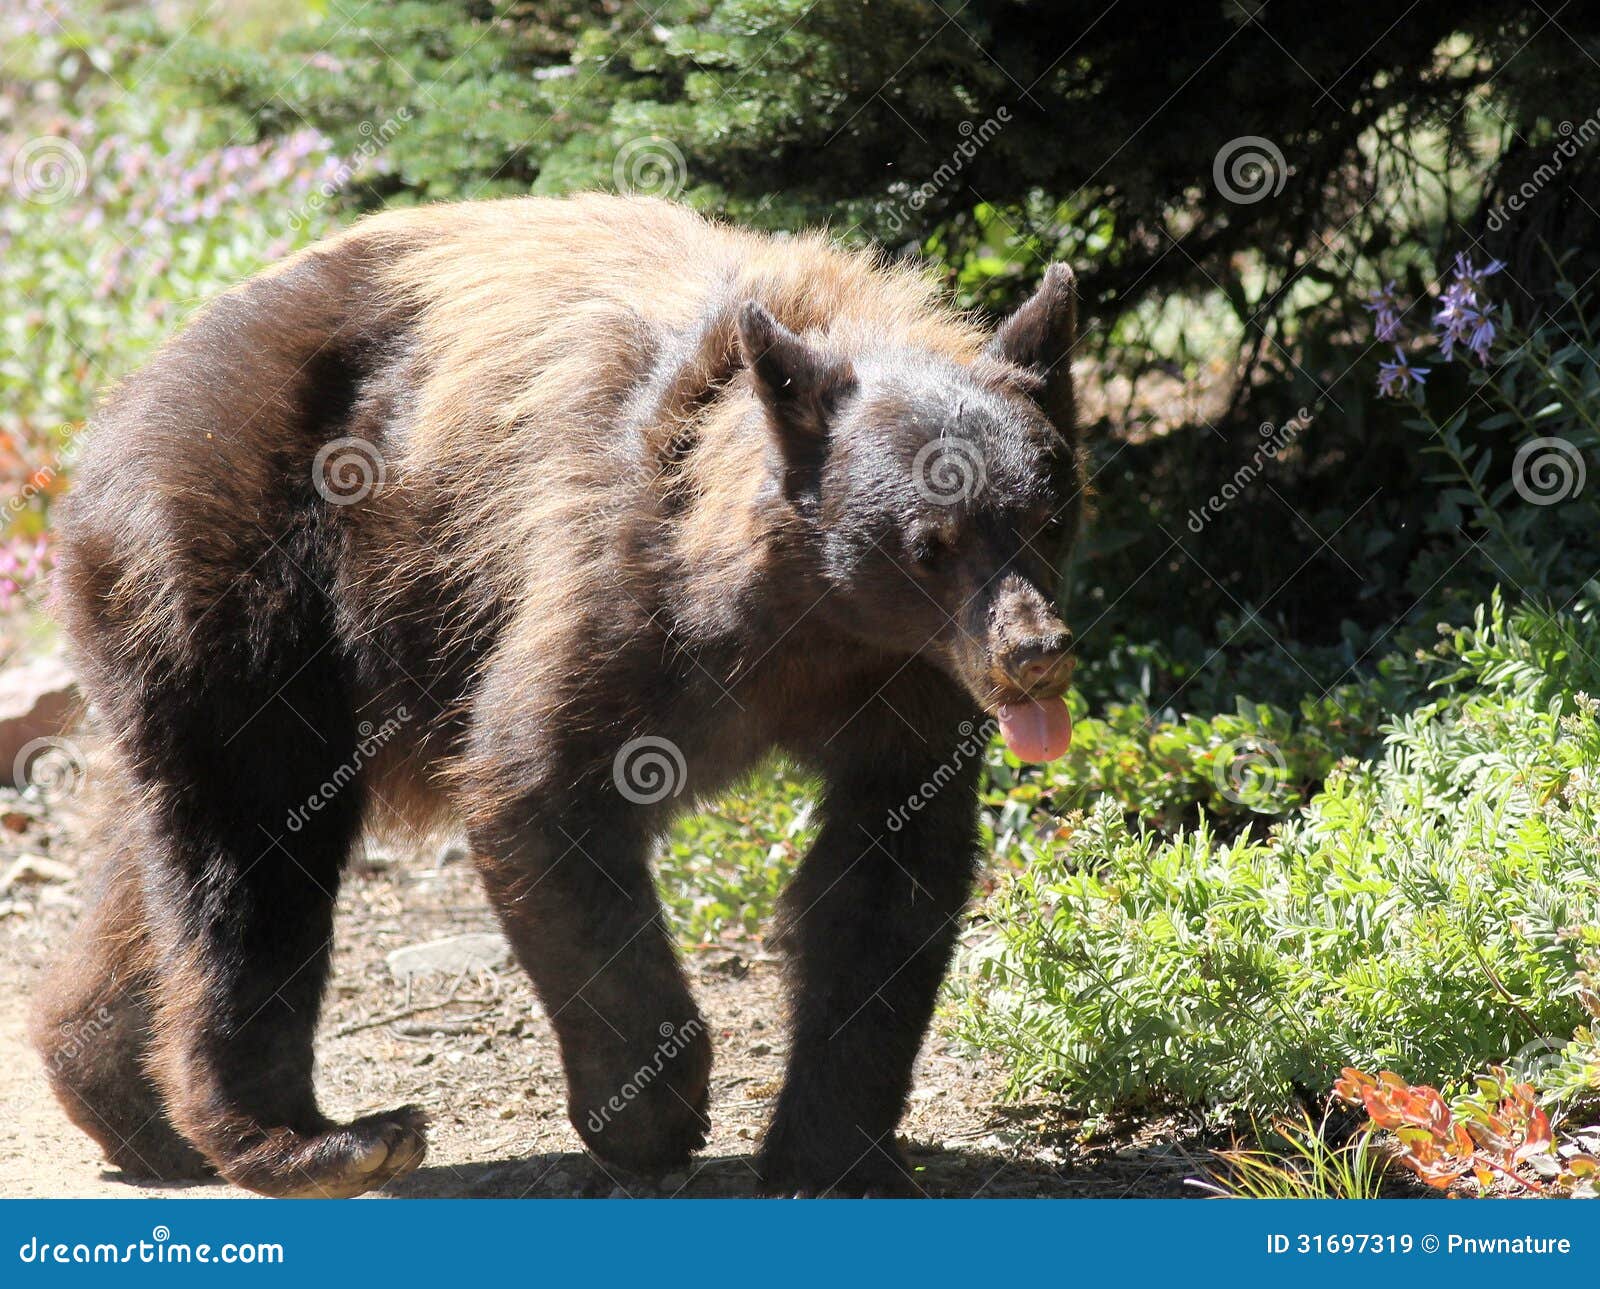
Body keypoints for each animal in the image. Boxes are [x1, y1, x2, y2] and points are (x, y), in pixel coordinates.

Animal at [31, 194, 1083, 1198]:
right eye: (931, 542)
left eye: (1044, 518)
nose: (1034, 652)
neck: (810, 616)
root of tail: (122, 401)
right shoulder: (622, 572)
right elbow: (540, 785)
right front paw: (651, 1115)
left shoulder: (909, 689)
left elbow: (885, 876)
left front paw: (835, 1154)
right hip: (240, 559)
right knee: (253, 835)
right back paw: (320, 1140)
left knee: (161, 846)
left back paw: (122, 1096)